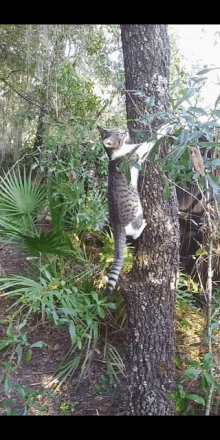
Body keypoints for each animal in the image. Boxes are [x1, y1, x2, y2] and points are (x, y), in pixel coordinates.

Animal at [97, 124, 154, 296]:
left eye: (119, 129)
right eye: (120, 133)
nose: (126, 130)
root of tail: (116, 225)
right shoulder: (138, 153)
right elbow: (151, 140)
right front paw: (168, 126)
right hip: (138, 212)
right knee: (135, 233)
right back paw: (144, 224)